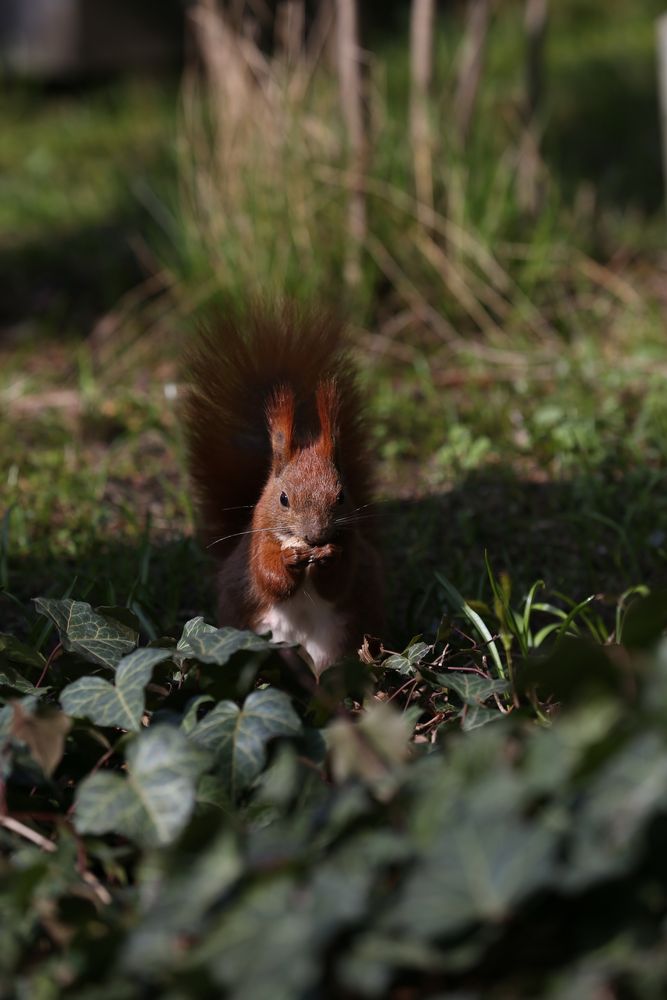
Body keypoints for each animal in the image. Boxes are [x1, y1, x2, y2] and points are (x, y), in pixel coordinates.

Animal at [184, 302, 383, 676]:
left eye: (341, 496)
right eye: (283, 498)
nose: (316, 536)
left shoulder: (351, 544)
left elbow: (338, 584)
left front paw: (329, 557)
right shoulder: (258, 542)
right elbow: (267, 578)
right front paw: (289, 559)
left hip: (343, 638)